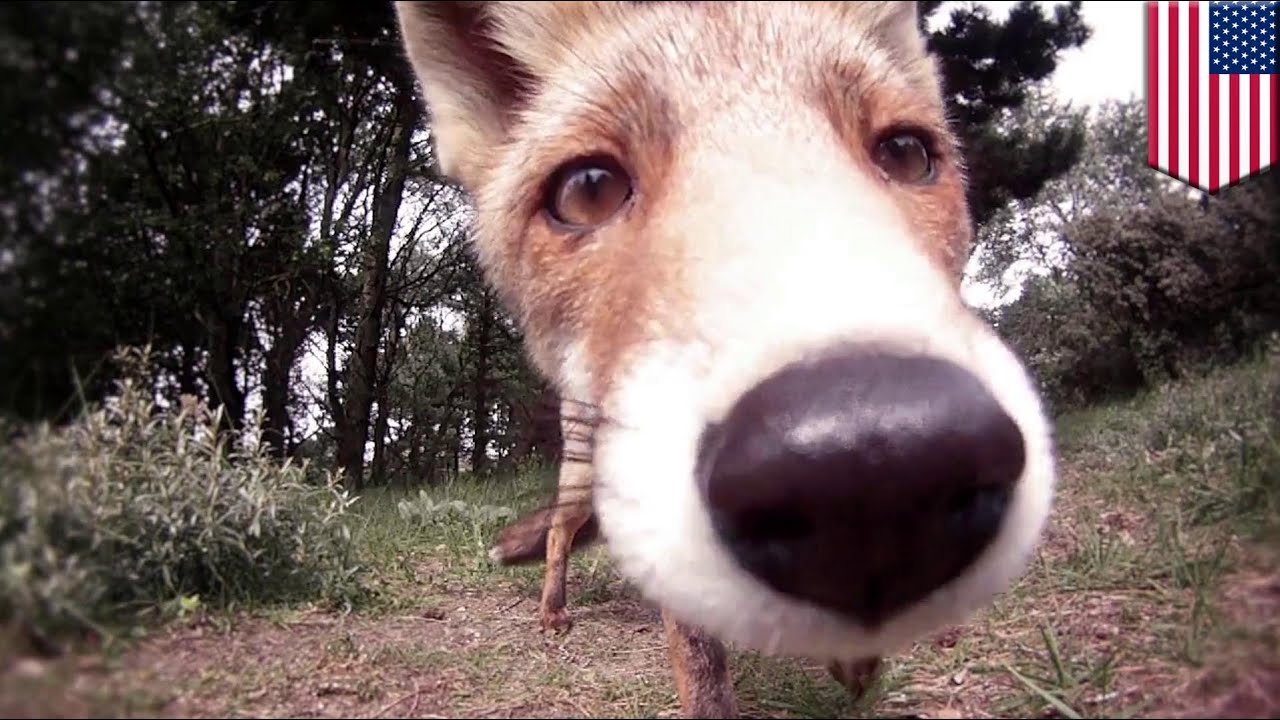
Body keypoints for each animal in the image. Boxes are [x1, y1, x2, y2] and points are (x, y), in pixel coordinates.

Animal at [391, 2, 1058, 717]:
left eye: (906, 152)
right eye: (588, 191)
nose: (873, 461)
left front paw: (858, 658)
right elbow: (703, 674)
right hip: (581, 476)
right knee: (559, 535)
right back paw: (553, 610)